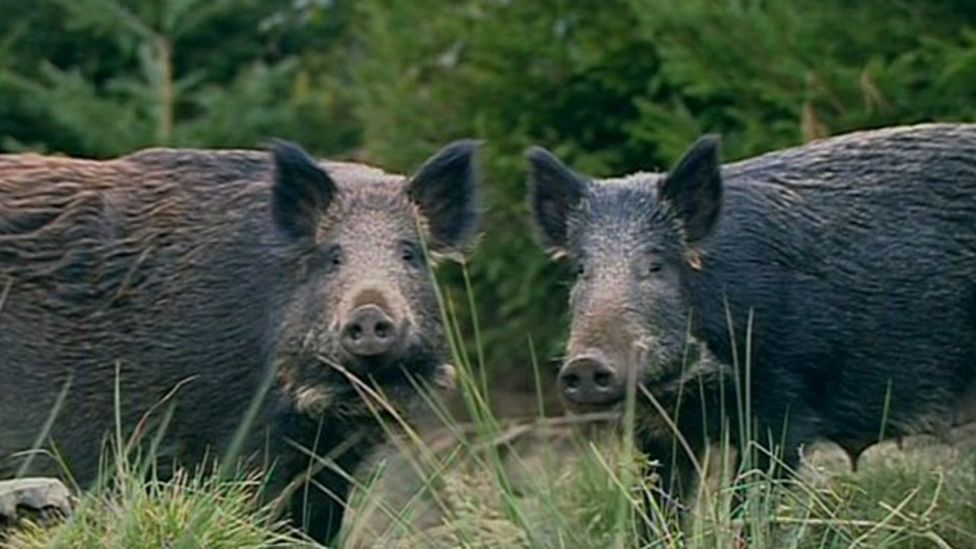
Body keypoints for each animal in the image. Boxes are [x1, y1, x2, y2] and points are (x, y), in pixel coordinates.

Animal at [527, 123, 976, 511]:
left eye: (656, 265)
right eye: (581, 269)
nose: (586, 364)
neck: (699, 384)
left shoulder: (783, 406)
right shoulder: (656, 428)